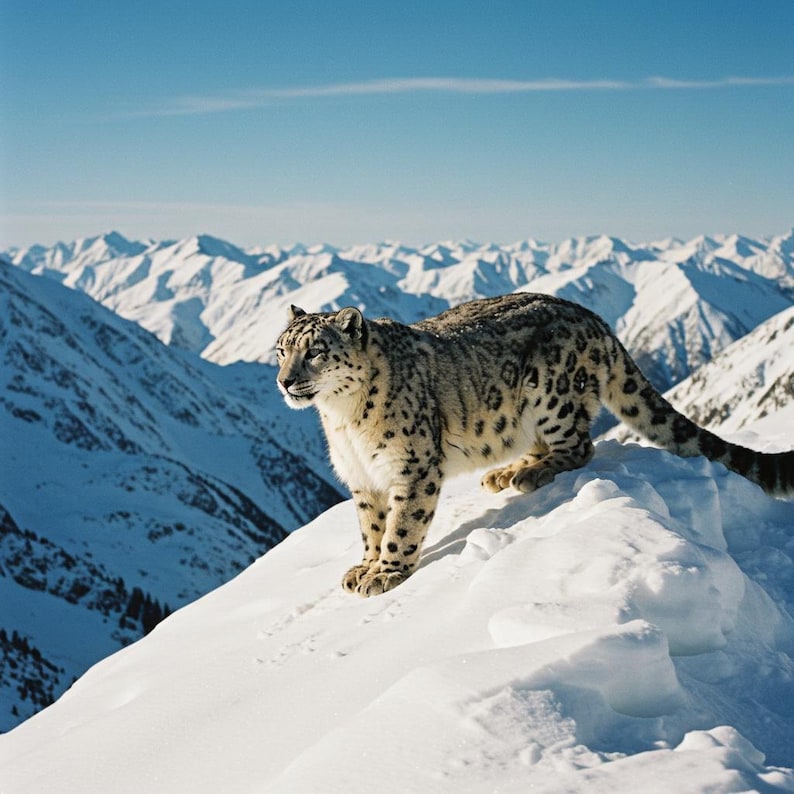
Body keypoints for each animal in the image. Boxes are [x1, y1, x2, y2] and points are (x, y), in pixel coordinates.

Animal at [276, 293, 793, 597]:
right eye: (281, 350)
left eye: (315, 352)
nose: (283, 381)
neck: (343, 421)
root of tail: (594, 318)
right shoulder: (363, 479)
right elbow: (371, 526)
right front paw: (363, 566)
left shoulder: (412, 466)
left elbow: (402, 525)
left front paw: (386, 573)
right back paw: (507, 471)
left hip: (552, 393)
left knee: (581, 447)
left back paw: (530, 473)